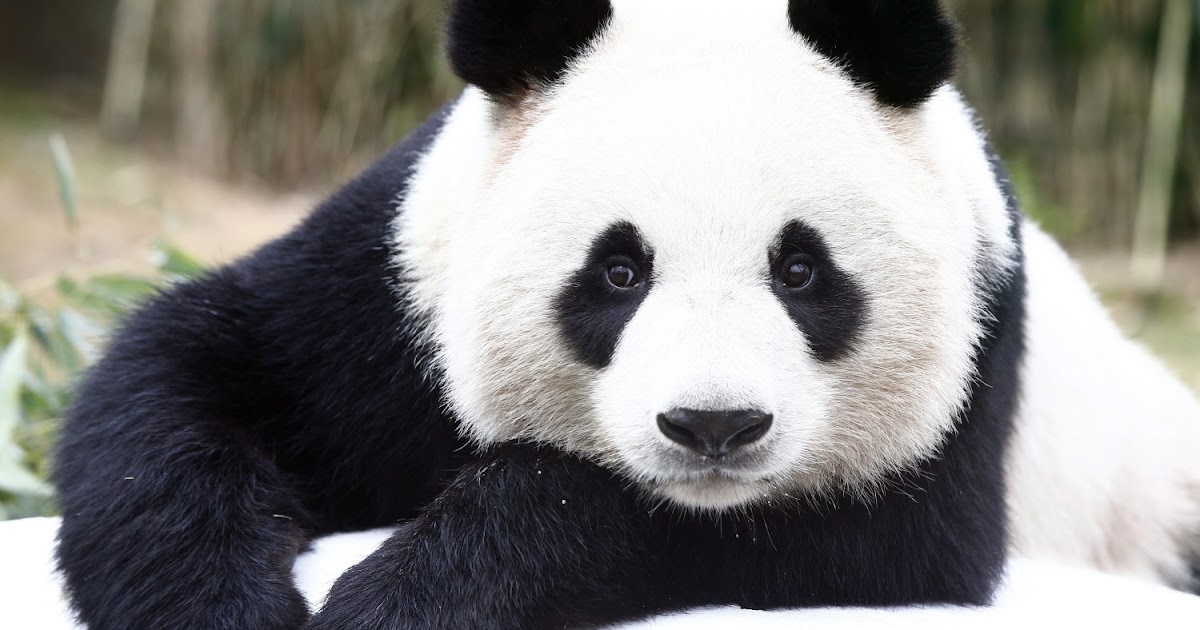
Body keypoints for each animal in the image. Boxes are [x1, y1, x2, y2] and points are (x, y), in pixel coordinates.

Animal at [52, 0, 1200, 629]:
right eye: (616, 273)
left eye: (802, 271)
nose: (715, 429)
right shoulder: (394, 289)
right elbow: (189, 370)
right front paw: (215, 605)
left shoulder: (973, 362)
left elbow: (869, 538)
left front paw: (409, 600)